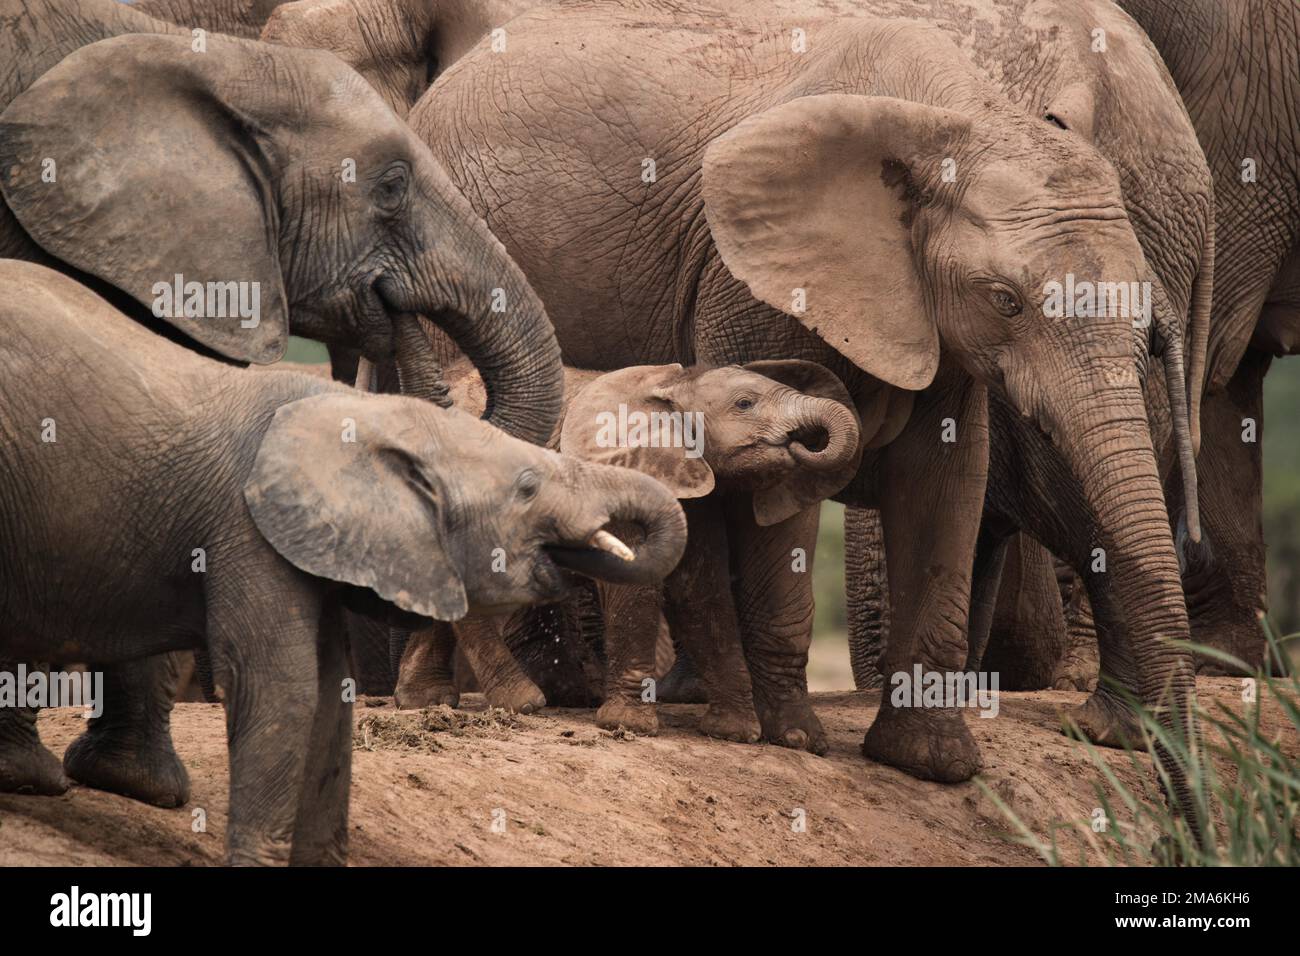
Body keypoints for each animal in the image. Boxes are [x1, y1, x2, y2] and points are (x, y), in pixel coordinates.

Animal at [395, 358, 861, 744]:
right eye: (745, 404)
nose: (803, 443)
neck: (674, 385)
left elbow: (698, 588)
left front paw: (735, 733)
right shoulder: (624, 474)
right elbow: (638, 577)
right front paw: (628, 725)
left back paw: (425, 701)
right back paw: (522, 701)